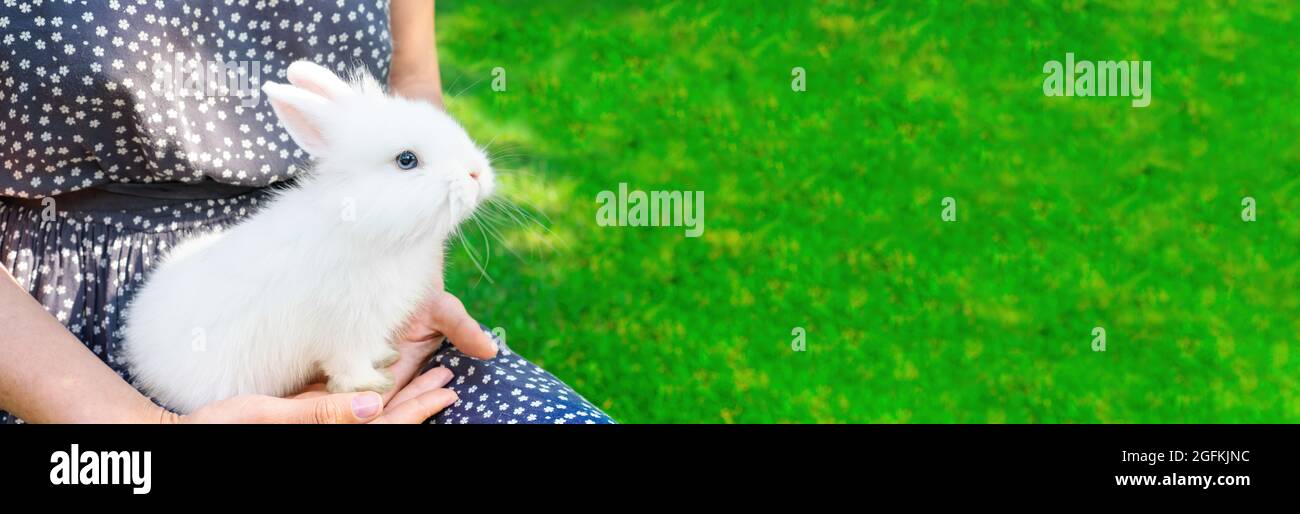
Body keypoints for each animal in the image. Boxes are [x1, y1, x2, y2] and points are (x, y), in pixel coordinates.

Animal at [121, 61, 495, 414]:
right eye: (407, 160)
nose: (477, 173)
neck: (363, 224)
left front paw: (385, 357)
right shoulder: (347, 330)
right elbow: (349, 364)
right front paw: (372, 384)